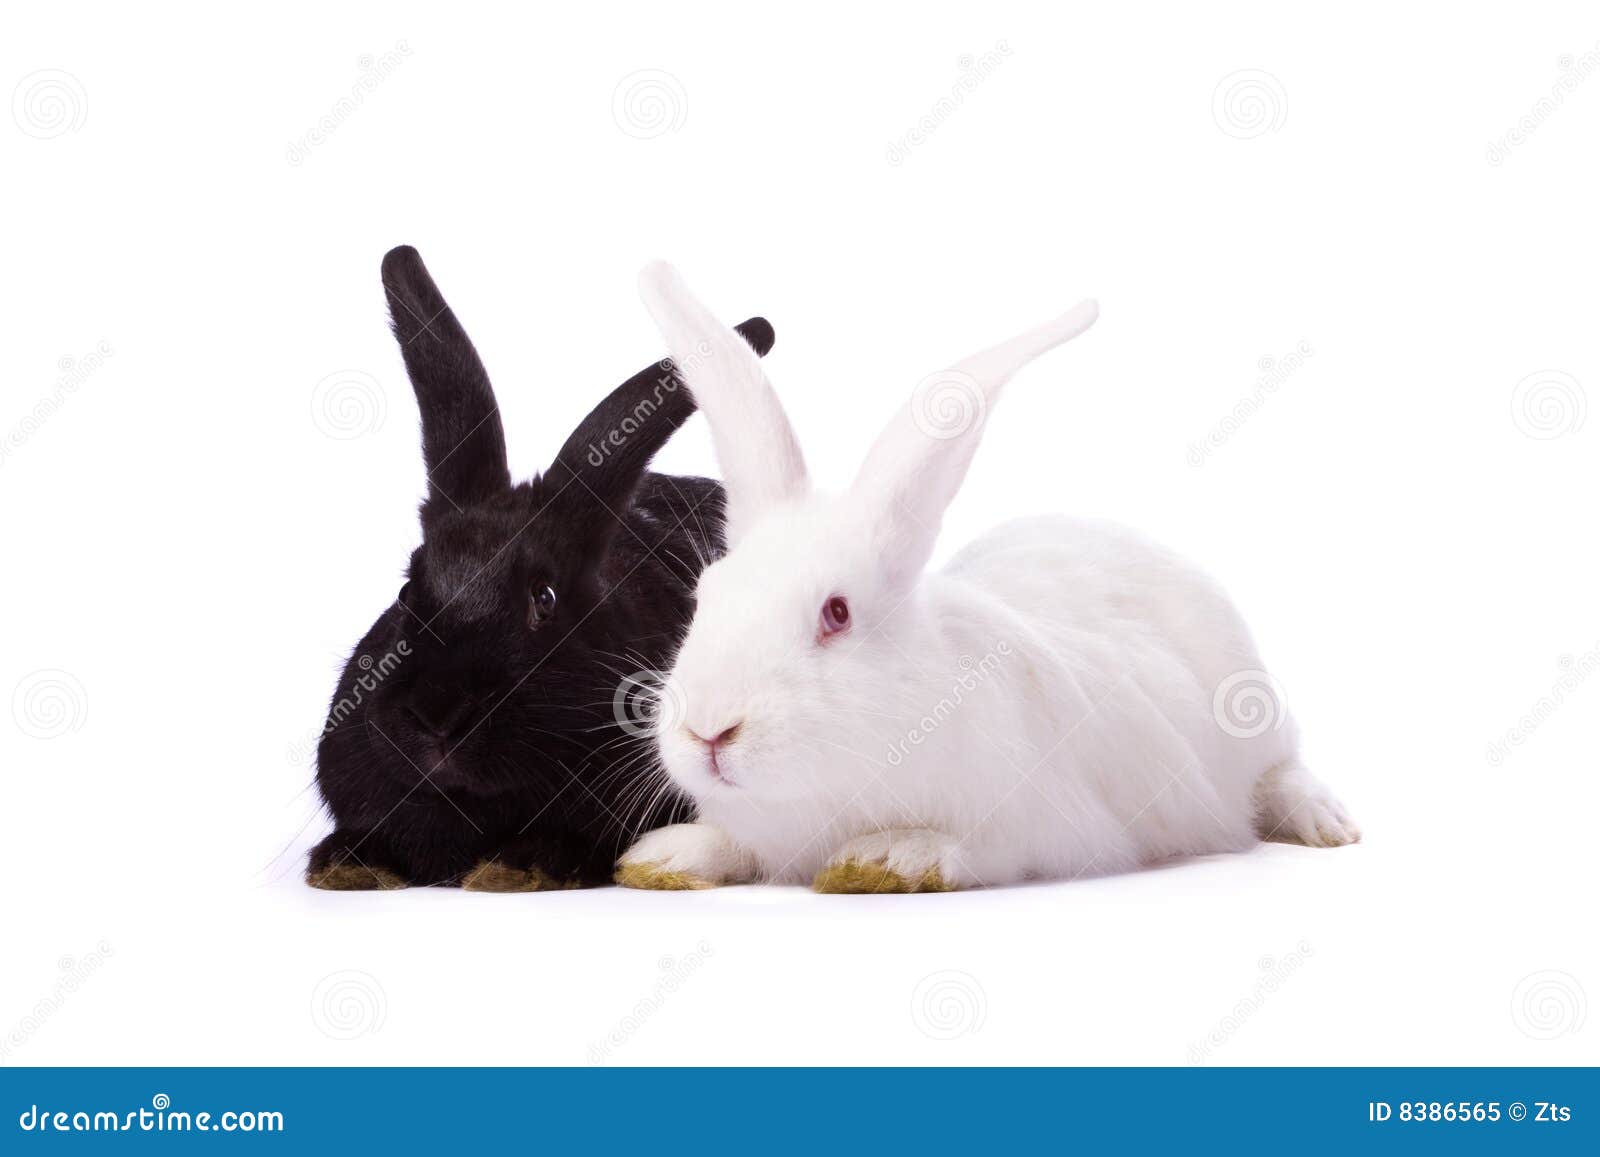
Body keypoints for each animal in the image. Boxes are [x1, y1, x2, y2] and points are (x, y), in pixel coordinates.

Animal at [615, 262, 1359, 893]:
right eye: (705, 597)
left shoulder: (1051, 828)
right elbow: (727, 843)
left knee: (1283, 772)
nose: (711, 731)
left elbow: (978, 848)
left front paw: (887, 858)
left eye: (837, 612)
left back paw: (1330, 825)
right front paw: (662, 858)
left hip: (1252, 714)